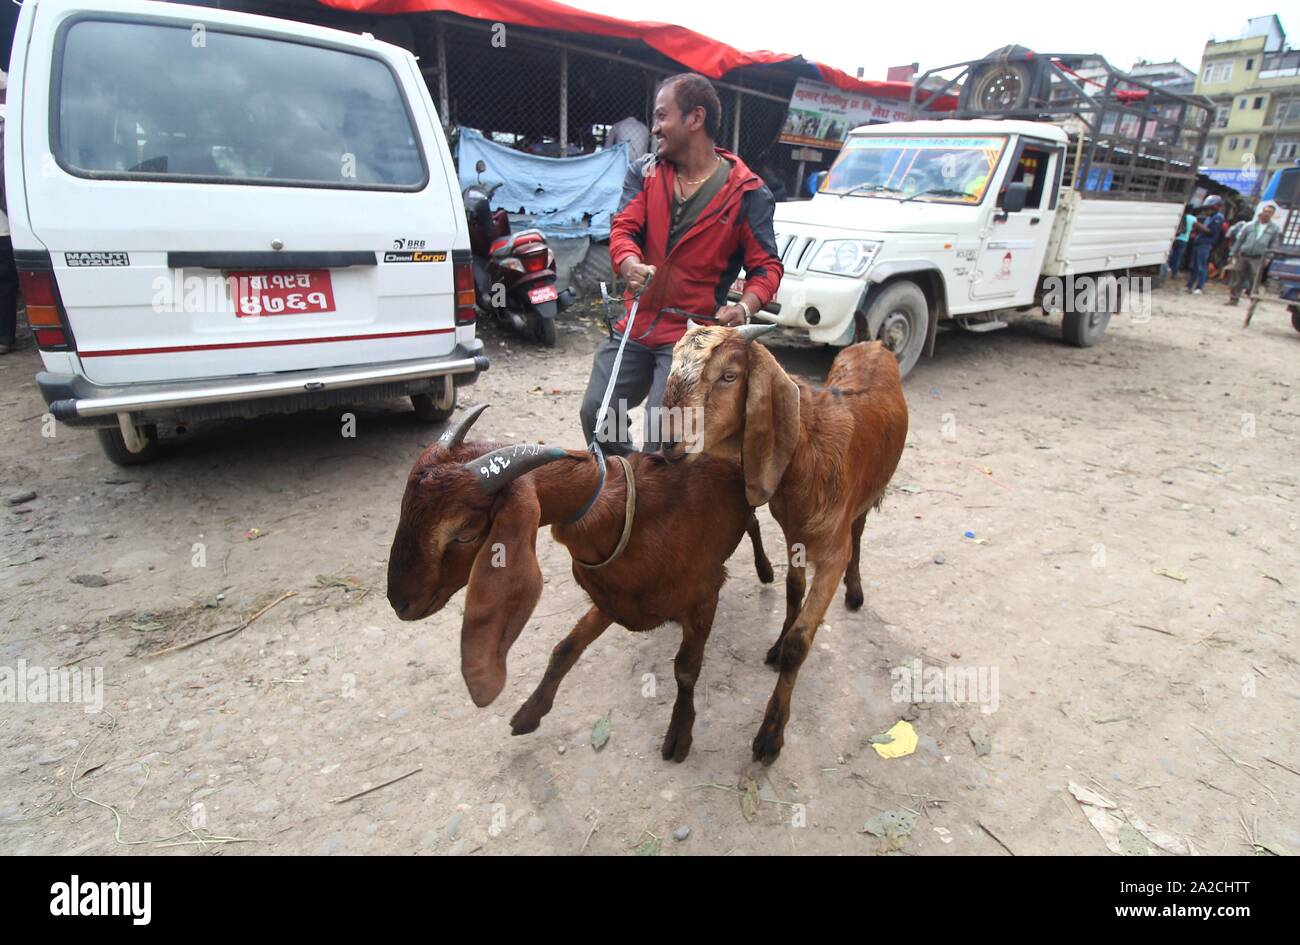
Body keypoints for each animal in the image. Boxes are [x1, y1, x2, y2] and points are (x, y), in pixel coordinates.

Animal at [385, 404, 772, 762]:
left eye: (464, 533)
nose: (399, 603)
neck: (634, 518)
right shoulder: (611, 601)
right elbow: (565, 649)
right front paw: (529, 713)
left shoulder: (706, 593)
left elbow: (686, 670)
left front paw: (679, 734)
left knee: (753, 524)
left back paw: (766, 570)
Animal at [660, 328, 908, 764]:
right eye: (672, 365)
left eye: (728, 376)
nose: (667, 443)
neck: (810, 447)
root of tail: (874, 342)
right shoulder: (794, 534)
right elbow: (793, 592)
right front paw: (776, 645)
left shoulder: (832, 554)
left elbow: (799, 643)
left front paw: (770, 734)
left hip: (870, 493)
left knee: (860, 532)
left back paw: (855, 591)